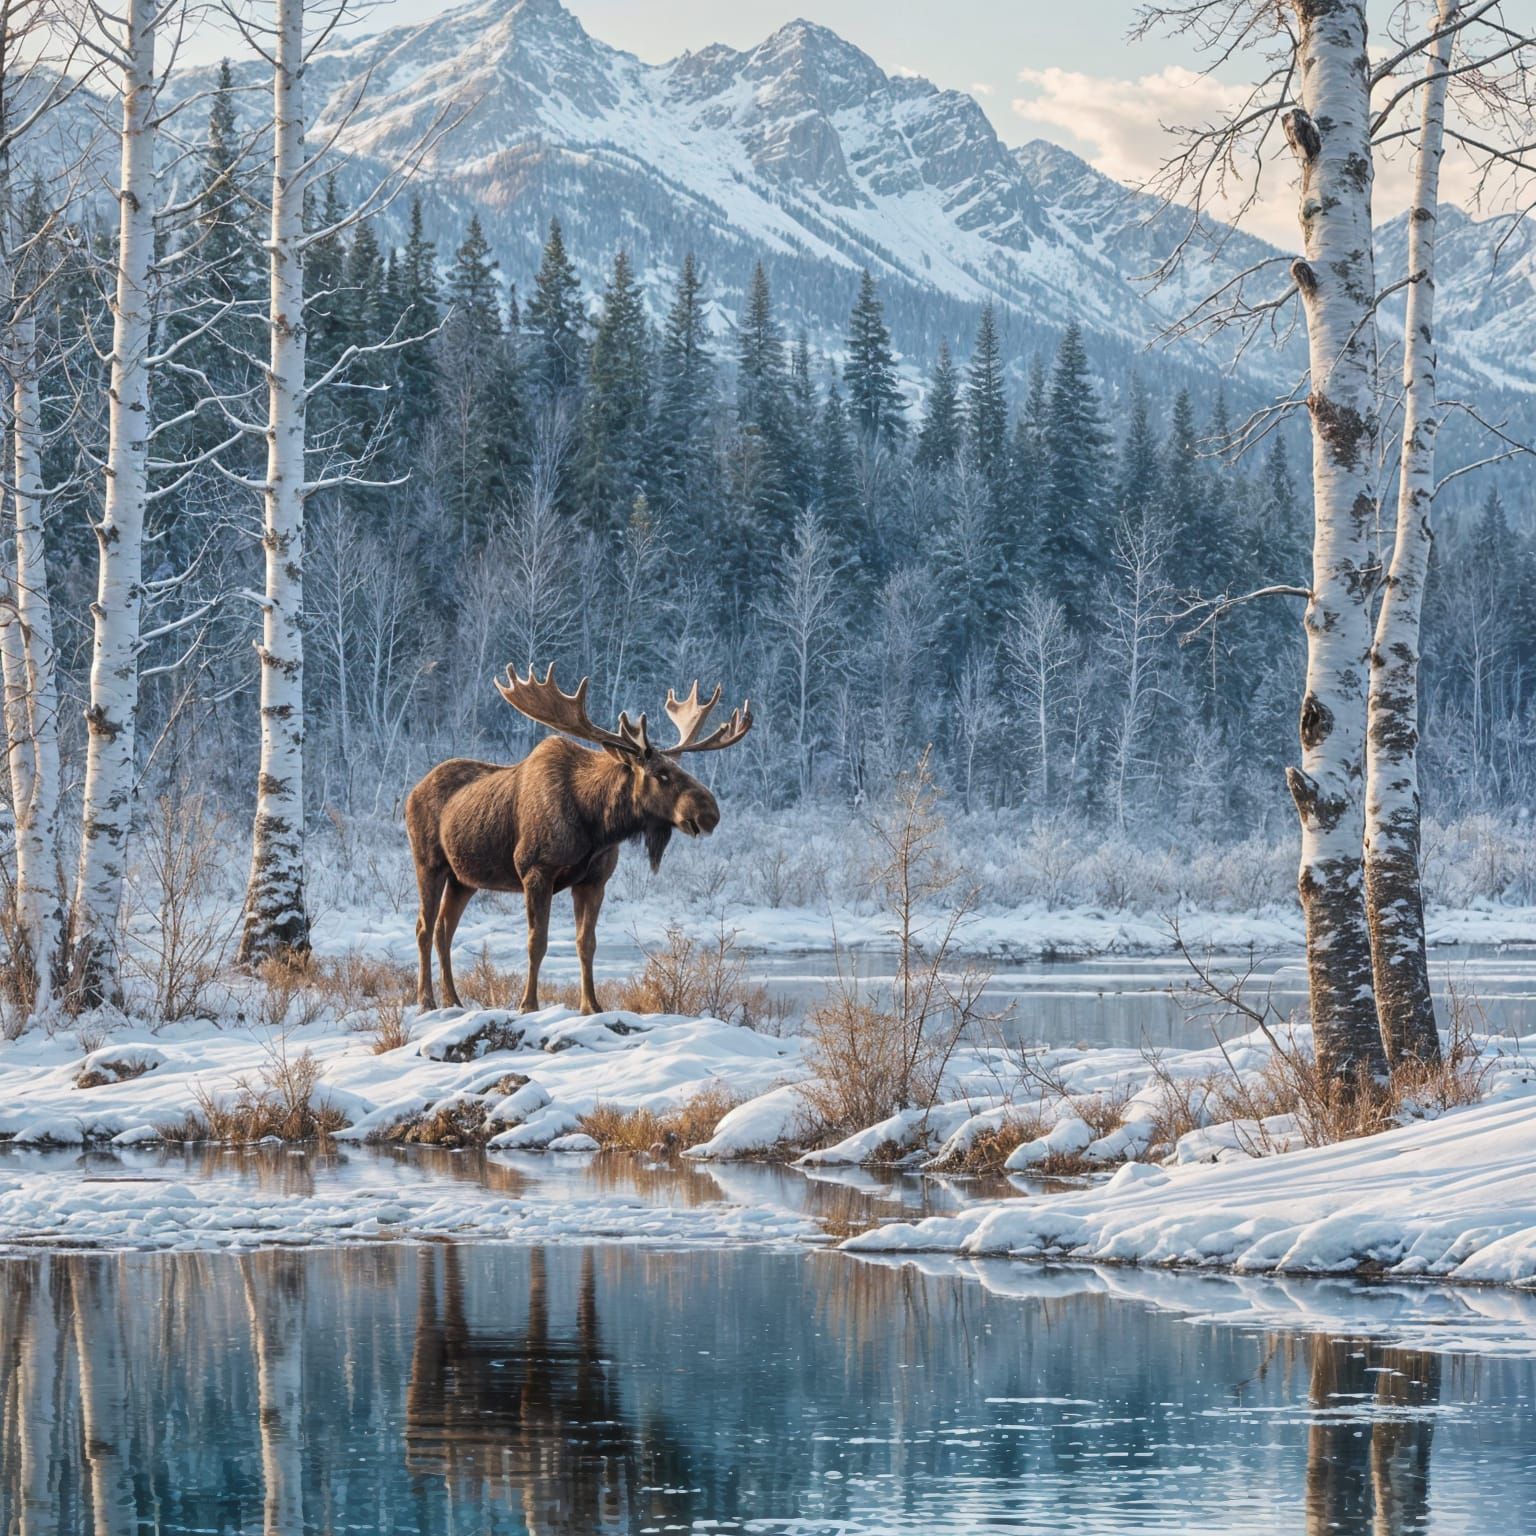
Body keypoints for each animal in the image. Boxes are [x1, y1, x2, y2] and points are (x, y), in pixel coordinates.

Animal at [405, 665, 752, 1016]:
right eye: (660, 775)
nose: (710, 814)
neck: (598, 825)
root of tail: (411, 794)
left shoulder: (594, 880)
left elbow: (587, 943)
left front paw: (592, 1006)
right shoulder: (535, 870)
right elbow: (537, 941)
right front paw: (528, 1005)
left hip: (463, 879)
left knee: (444, 930)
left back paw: (453, 999)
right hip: (429, 863)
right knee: (424, 928)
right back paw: (427, 1000)